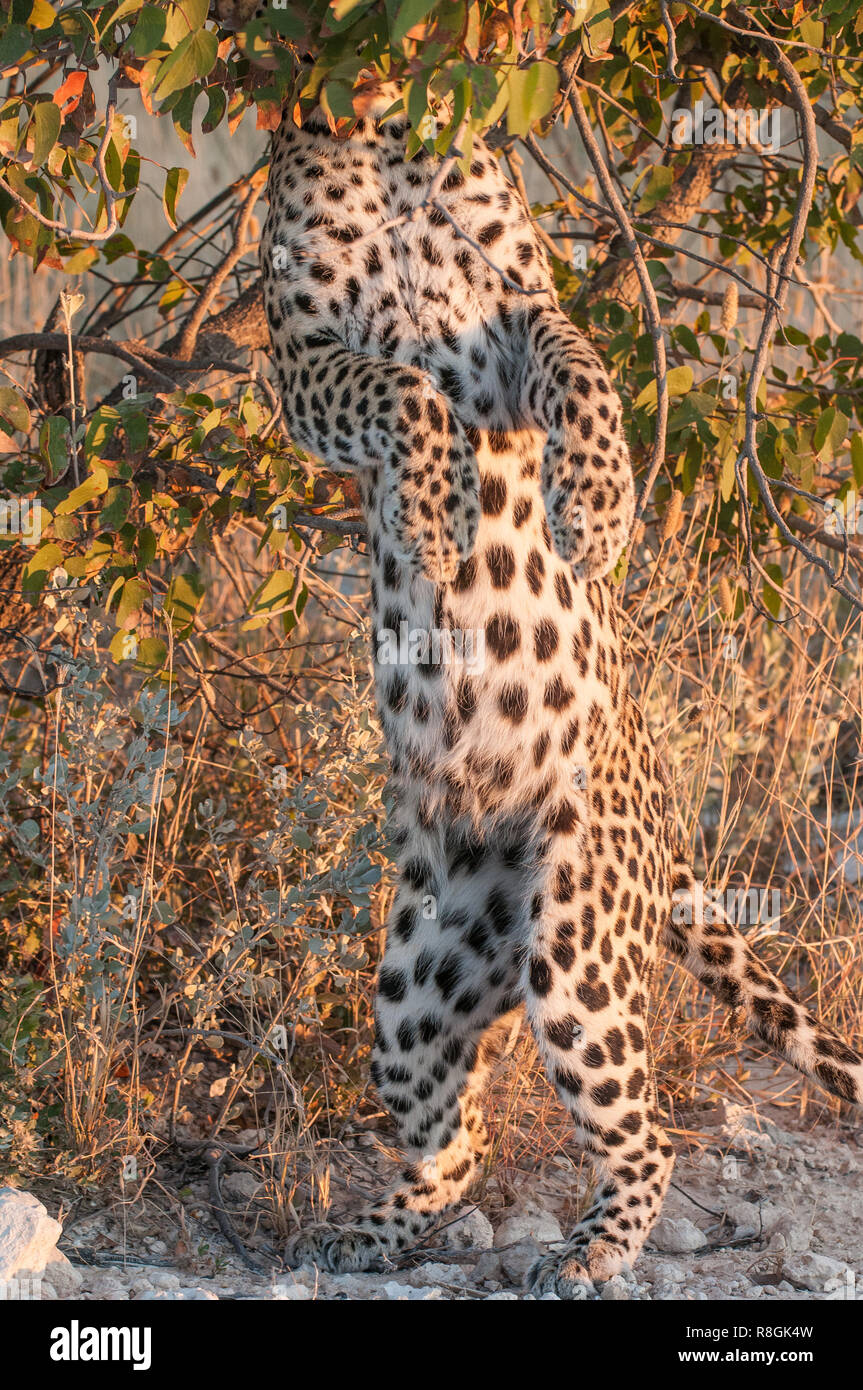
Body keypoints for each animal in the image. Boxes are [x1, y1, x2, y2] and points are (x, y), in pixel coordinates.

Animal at [259, 85, 863, 1297]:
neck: (381, 128)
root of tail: (667, 832)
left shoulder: (508, 306)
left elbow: (574, 353)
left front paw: (595, 504)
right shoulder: (303, 345)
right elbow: (395, 384)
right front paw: (431, 515)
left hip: (575, 942)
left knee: (645, 1134)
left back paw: (589, 1251)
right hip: (414, 990)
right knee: (465, 1138)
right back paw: (374, 1231)